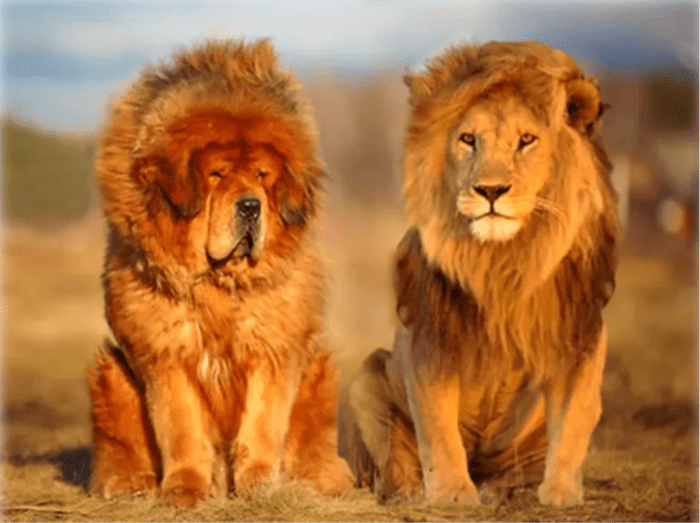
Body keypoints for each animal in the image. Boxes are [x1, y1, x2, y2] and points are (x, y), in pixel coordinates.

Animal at [87, 39, 353, 508]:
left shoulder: (273, 350)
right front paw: (184, 490)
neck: (217, 284)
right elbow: (182, 430)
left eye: (262, 176)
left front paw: (260, 486)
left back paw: (314, 479)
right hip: (109, 372)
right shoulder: (166, 354)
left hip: (320, 368)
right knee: (119, 446)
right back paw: (130, 482)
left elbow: (262, 427)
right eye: (217, 174)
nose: (250, 206)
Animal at [347, 41, 619, 506]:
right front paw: (452, 493)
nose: (490, 191)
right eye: (468, 140)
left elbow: (574, 419)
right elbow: (437, 427)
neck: (502, 261)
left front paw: (561, 493)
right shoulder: (431, 337)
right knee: (397, 455)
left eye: (526, 141)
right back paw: (409, 490)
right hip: (367, 374)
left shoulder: (578, 334)